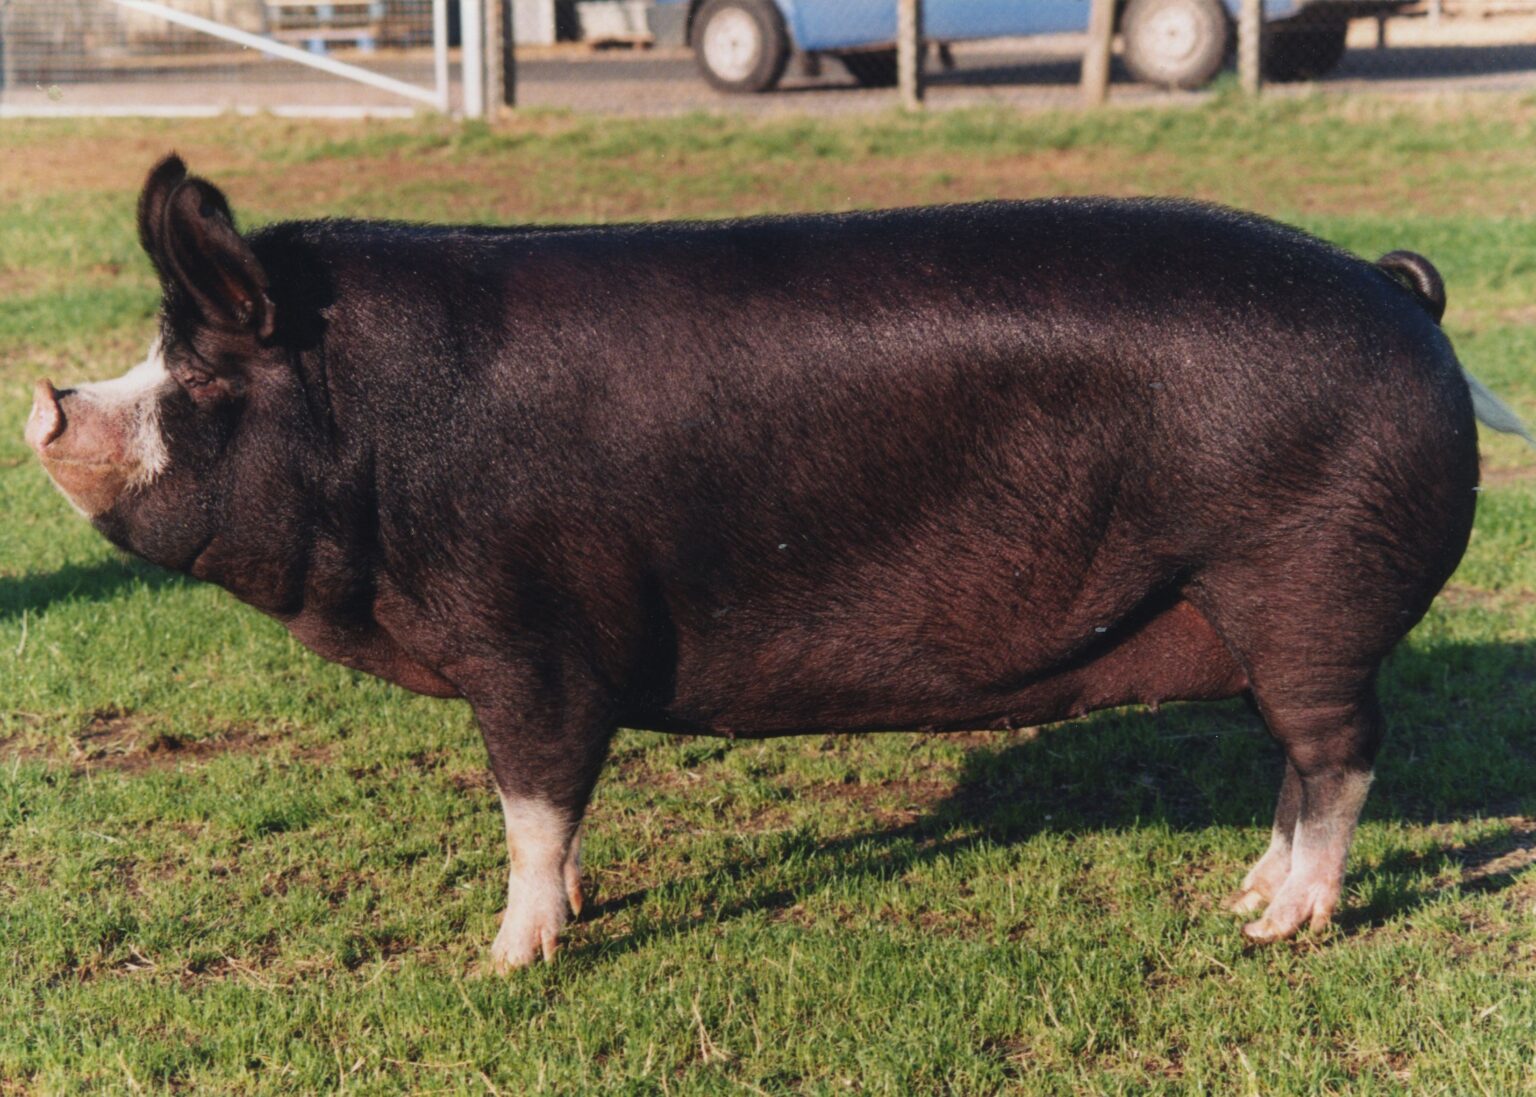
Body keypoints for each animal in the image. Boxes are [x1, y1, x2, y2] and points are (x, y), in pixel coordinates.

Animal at [26, 155, 1533, 970]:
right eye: (157, 359)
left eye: (204, 379)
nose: (44, 401)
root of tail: (1399, 290)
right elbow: (553, 808)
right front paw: (576, 906)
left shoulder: (532, 634)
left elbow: (532, 798)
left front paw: (505, 958)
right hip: (1267, 608)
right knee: (1298, 755)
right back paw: (1245, 895)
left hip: (1304, 585)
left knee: (1340, 752)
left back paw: (1281, 928)